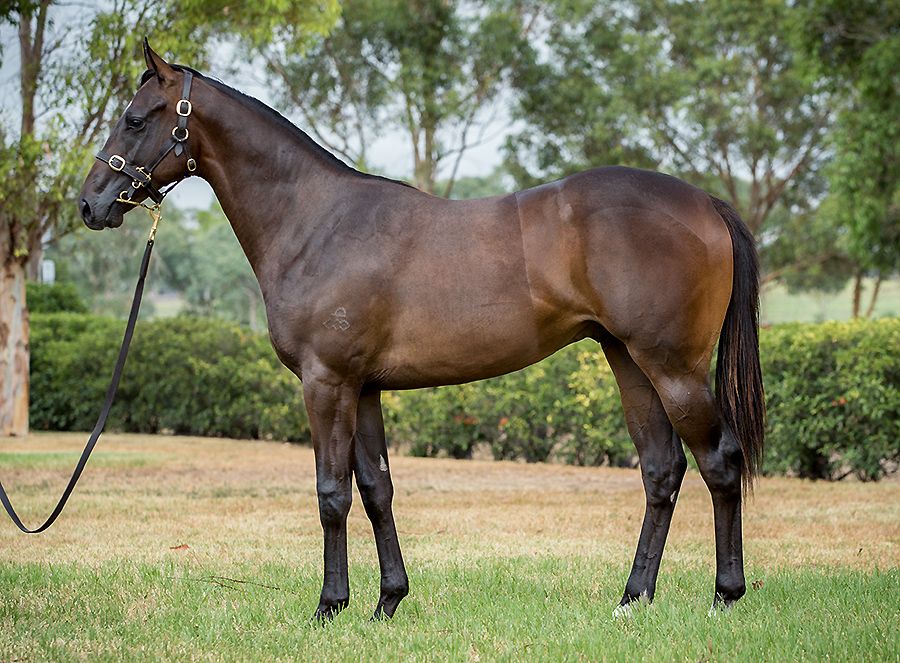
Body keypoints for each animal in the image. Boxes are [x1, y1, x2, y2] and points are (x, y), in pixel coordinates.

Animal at [79, 41, 765, 621]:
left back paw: (726, 595)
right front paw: (388, 600)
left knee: (720, 462)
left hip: (672, 367)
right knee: (662, 470)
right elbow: (376, 488)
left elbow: (332, 493)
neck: (316, 221)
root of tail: (706, 203)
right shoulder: (362, 388)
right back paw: (633, 598)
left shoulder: (326, 383)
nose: (91, 203)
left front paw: (330, 606)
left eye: (135, 119)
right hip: (628, 360)